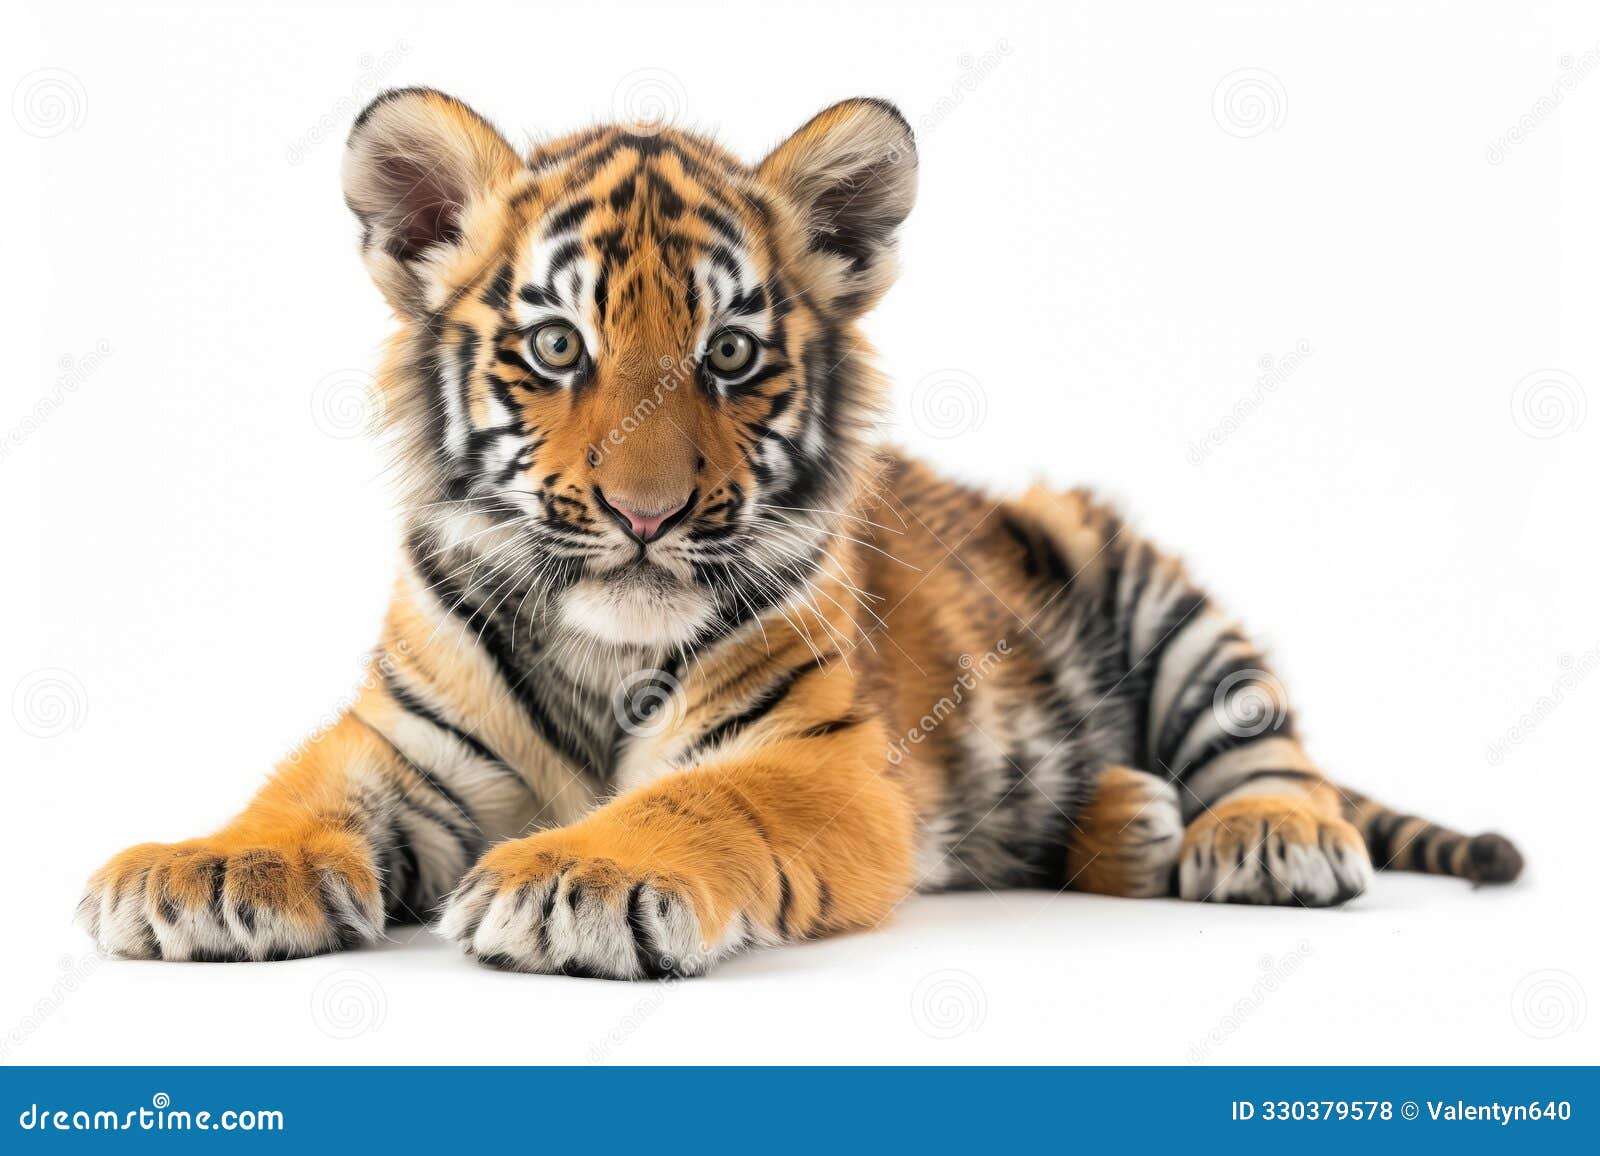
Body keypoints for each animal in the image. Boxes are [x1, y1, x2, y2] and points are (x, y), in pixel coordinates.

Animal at [77, 89, 1523, 976]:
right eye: (557, 348)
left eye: (729, 354)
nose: (646, 512)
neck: (603, 647)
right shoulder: (405, 742)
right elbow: (300, 790)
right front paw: (204, 870)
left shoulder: (820, 758)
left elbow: (697, 800)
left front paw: (575, 877)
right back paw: (1129, 817)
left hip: (1141, 584)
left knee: (1263, 733)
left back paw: (1255, 834)